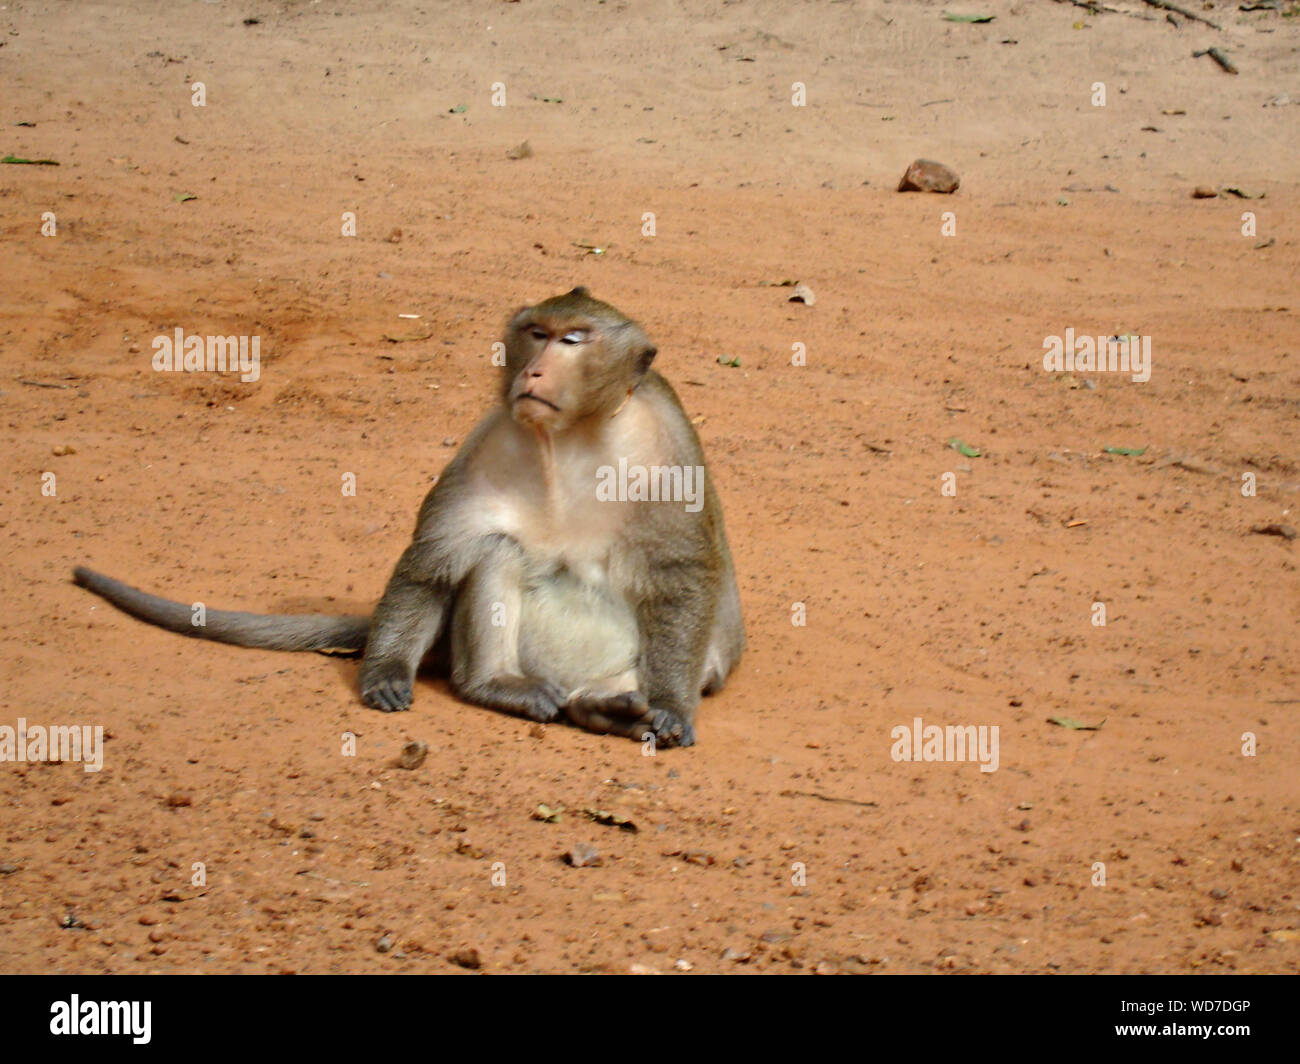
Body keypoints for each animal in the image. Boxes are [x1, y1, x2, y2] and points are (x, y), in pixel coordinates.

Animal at [74, 288, 744, 747]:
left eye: (573, 341)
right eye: (536, 333)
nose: (534, 370)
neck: (570, 435)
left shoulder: (664, 445)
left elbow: (682, 574)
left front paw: (671, 708)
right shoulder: (493, 437)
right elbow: (434, 560)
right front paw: (387, 668)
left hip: (628, 668)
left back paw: (607, 708)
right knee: (497, 550)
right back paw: (501, 685)